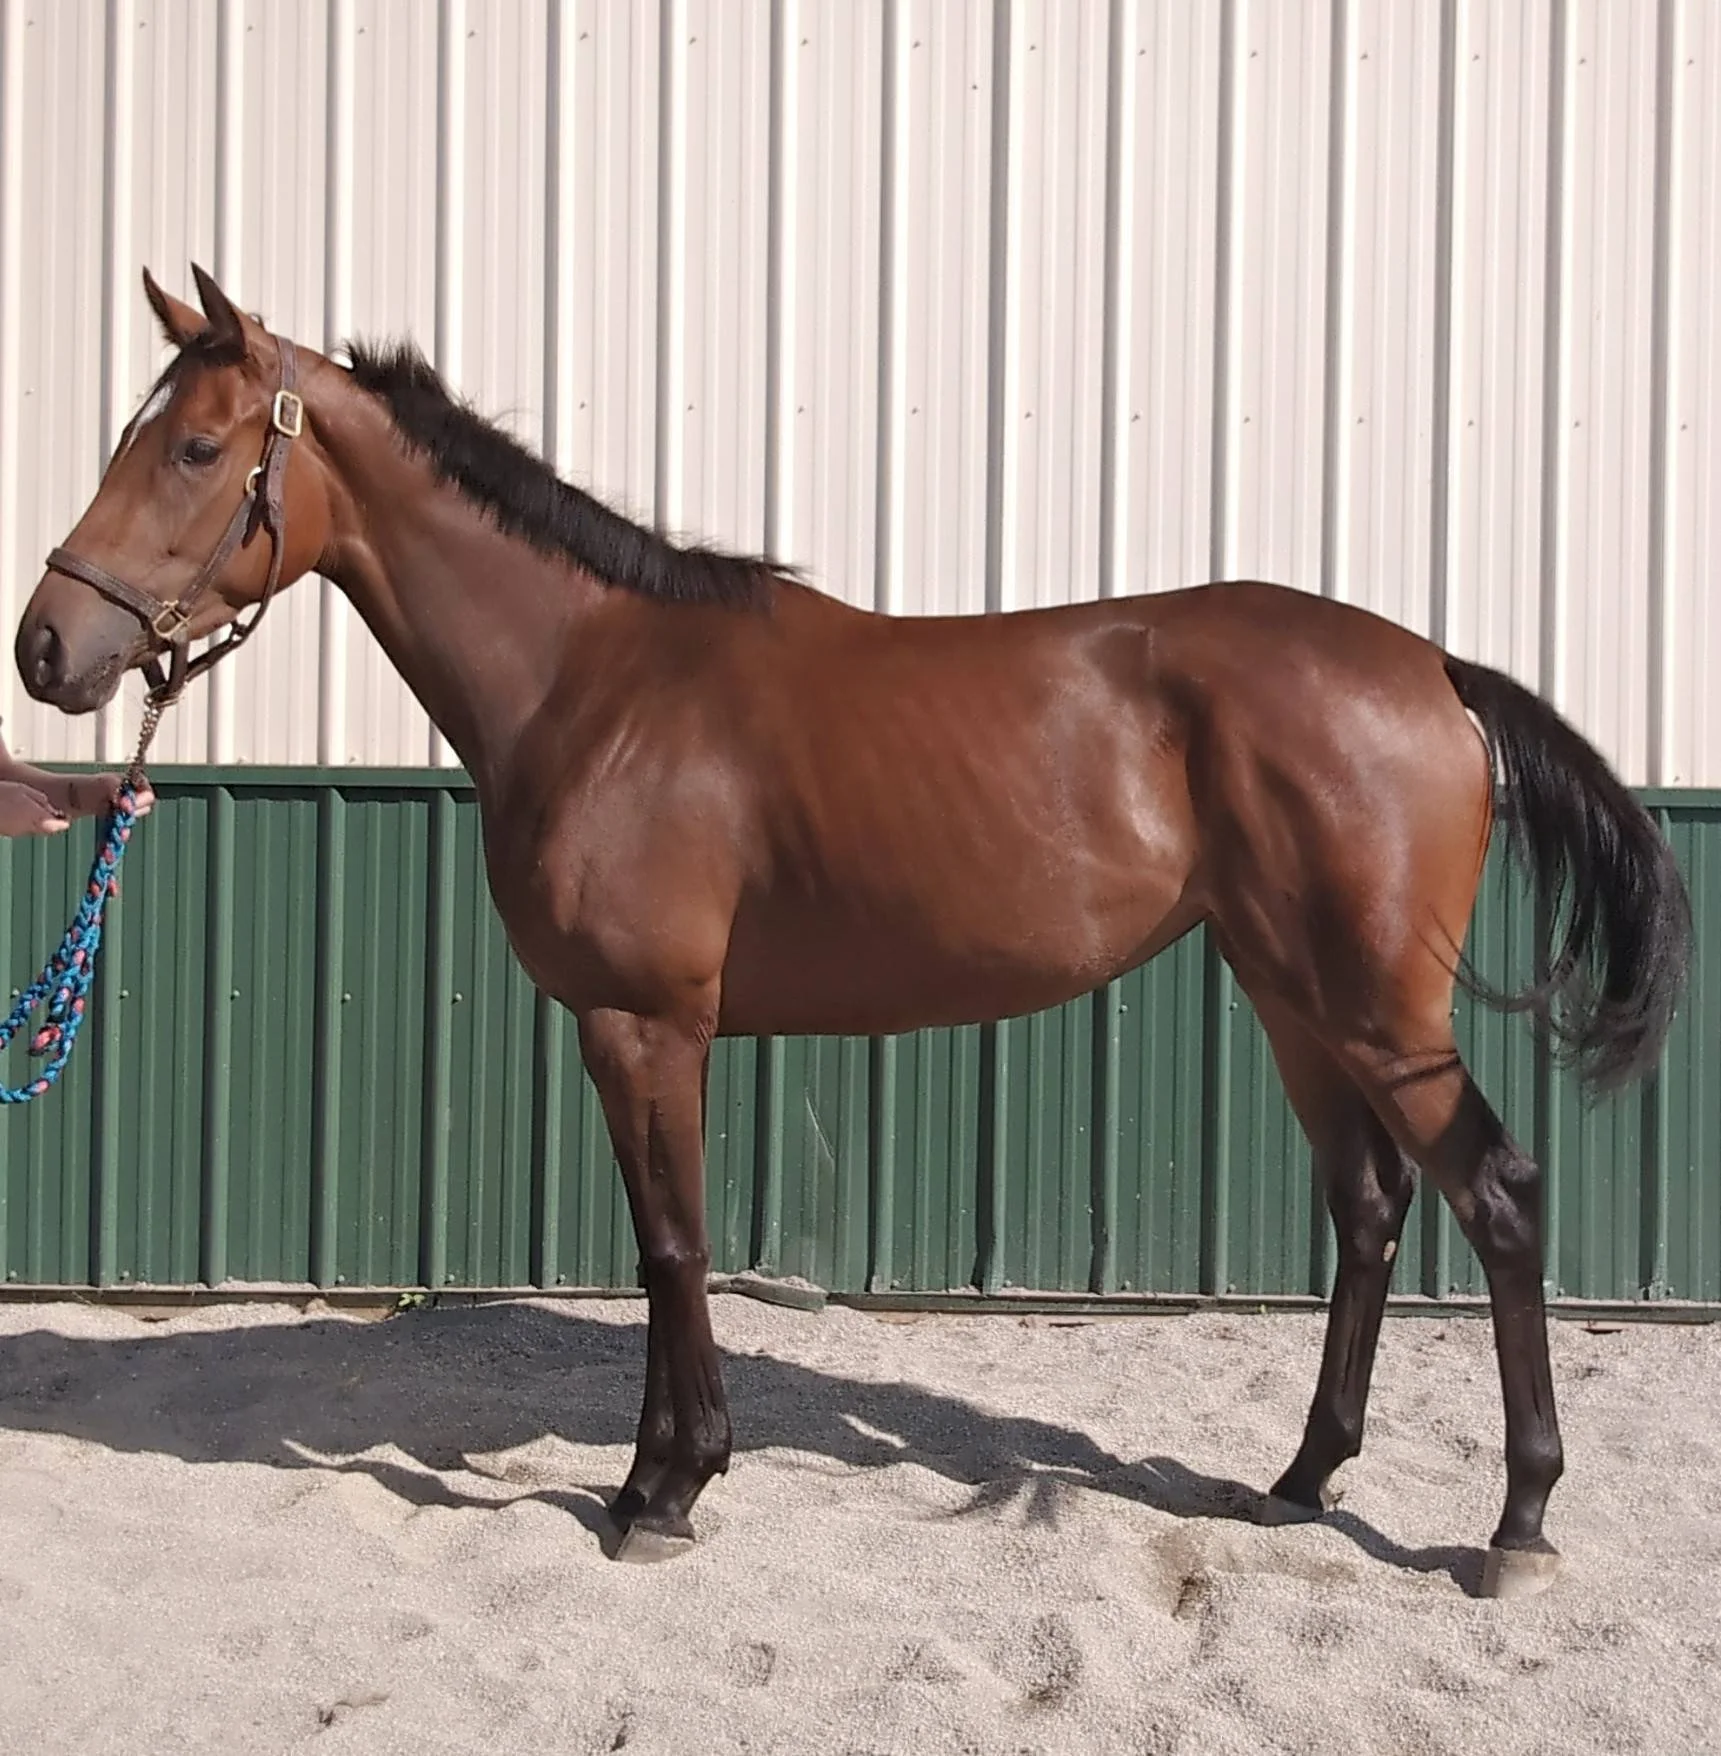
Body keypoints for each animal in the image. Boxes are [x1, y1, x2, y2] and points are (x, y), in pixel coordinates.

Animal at [16, 267, 1690, 1600]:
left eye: (194, 446)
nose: (47, 647)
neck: (593, 678)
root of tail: (1435, 671)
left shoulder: (645, 1022)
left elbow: (674, 1246)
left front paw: (665, 1490)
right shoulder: (636, 1030)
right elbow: (662, 1249)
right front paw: (661, 1473)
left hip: (1377, 1013)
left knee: (1498, 1196)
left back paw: (1517, 1524)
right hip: (1294, 1000)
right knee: (1367, 1207)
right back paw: (1297, 1480)